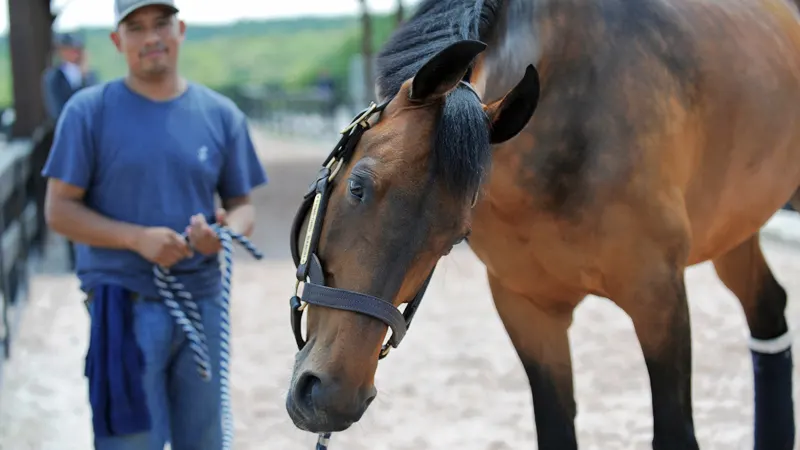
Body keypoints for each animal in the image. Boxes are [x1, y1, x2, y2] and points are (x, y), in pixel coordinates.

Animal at [284, 0, 800, 448]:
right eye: (358, 186)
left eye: (455, 235)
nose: (331, 397)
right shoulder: (527, 309)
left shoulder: (659, 299)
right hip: (734, 229)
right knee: (767, 309)